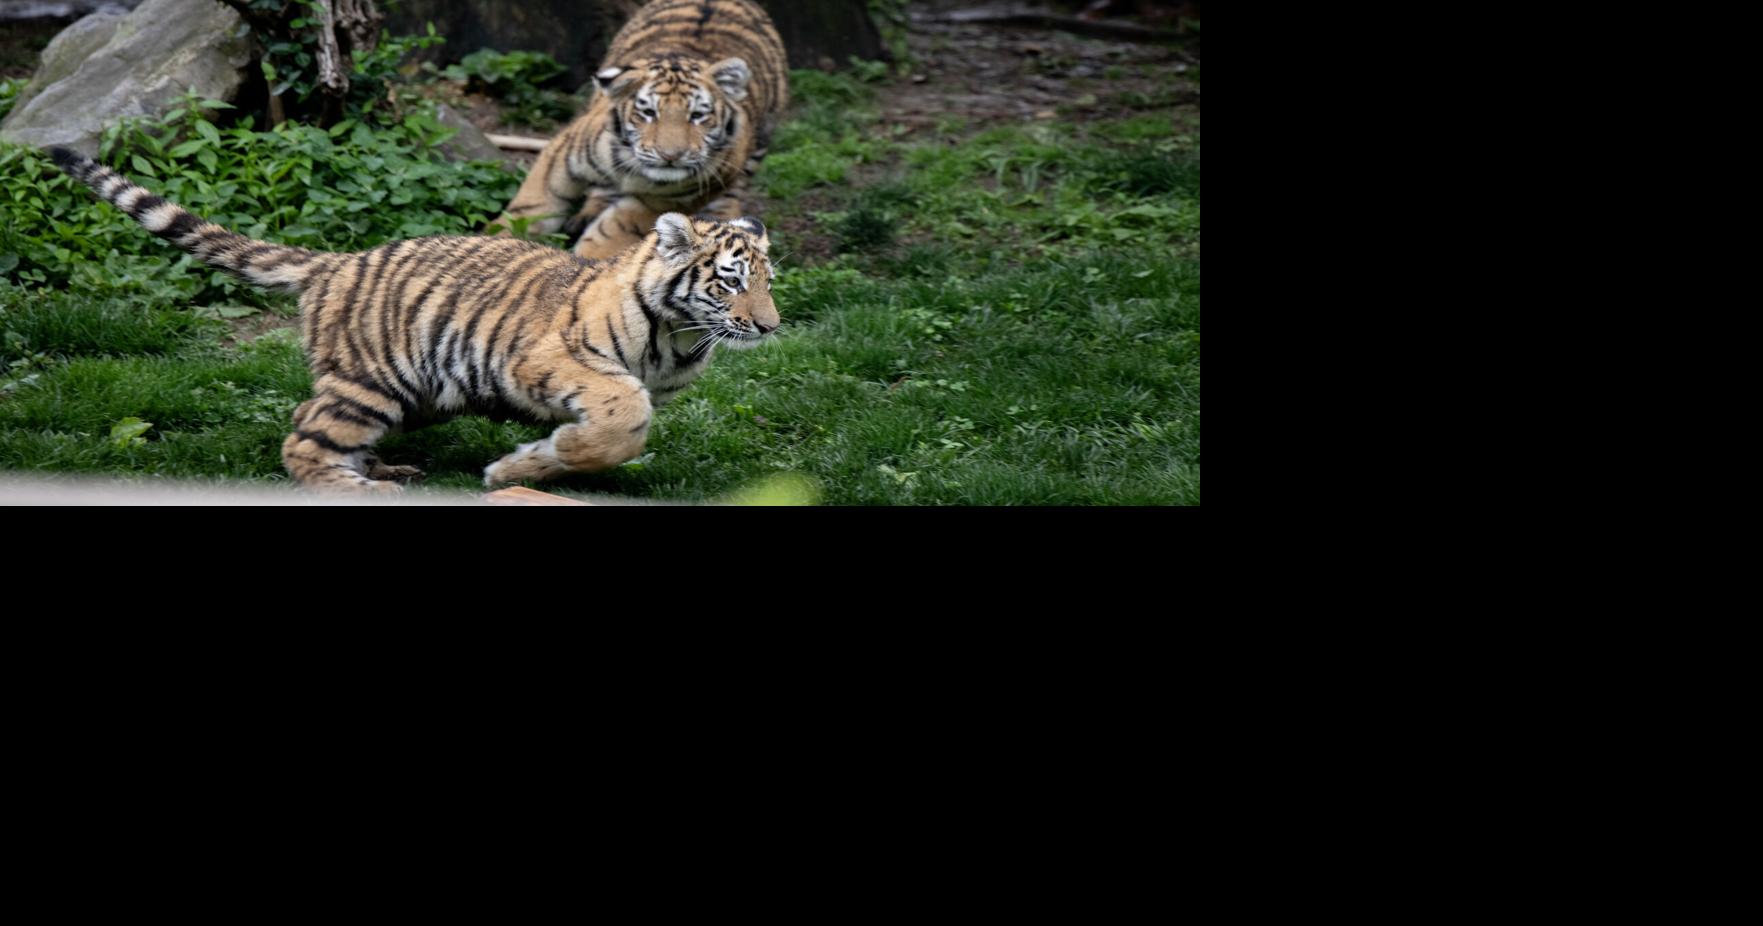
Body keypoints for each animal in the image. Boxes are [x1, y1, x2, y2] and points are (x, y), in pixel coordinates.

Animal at [49, 146, 780, 494]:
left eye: (770, 281)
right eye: (730, 280)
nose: (771, 326)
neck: (680, 337)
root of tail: (335, 261)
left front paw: (524, 470)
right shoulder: (549, 359)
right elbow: (621, 422)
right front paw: (527, 466)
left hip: (418, 393)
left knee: (308, 422)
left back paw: (384, 472)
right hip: (375, 382)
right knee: (302, 441)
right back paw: (362, 491)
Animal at [495, 0, 789, 261]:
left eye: (697, 116)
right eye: (648, 113)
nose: (671, 156)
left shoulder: (671, 199)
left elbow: (616, 231)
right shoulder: (562, 155)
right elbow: (531, 205)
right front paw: (502, 238)